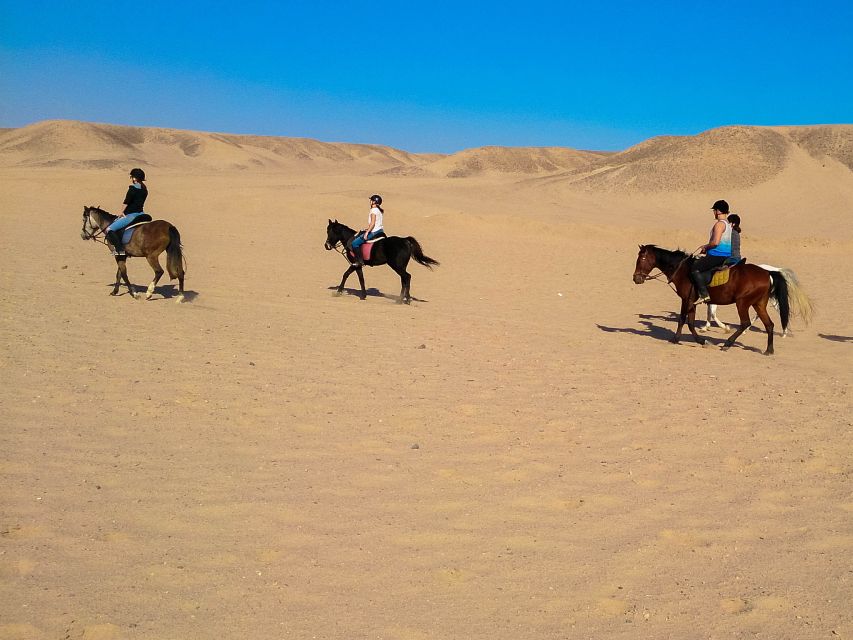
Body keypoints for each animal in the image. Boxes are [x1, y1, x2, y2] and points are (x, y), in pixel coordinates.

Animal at [632, 245, 811, 355]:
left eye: (641, 259)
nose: (636, 279)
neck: (683, 270)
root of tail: (767, 272)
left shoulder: (687, 299)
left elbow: (684, 320)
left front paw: (679, 339)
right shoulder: (692, 301)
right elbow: (690, 322)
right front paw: (701, 339)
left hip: (743, 303)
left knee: (745, 323)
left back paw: (727, 343)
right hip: (758, 304)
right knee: (769, 324)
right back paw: (769, 350)